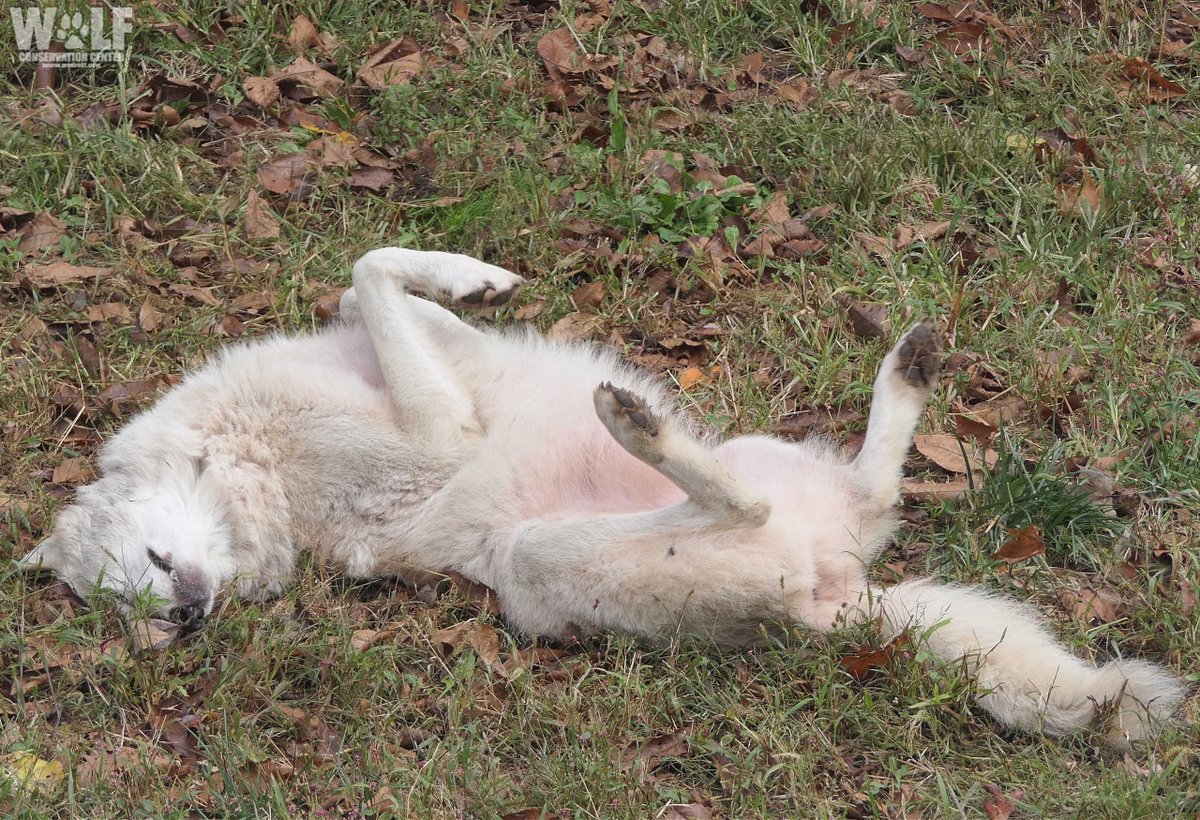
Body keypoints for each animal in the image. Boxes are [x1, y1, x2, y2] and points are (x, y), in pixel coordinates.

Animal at [22, 247, 1184, 744]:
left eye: (145, 573)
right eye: (131, 610)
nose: (185, 617)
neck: (246, 455)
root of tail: (839, 606)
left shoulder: (398, 352)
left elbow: (372, 272)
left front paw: (472, 274)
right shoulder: (434, 432)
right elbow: (369, 276)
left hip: (766, 459)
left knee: (868, 479)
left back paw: (905, 366)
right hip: (543, 567)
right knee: (752, 505)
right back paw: (641, 425)